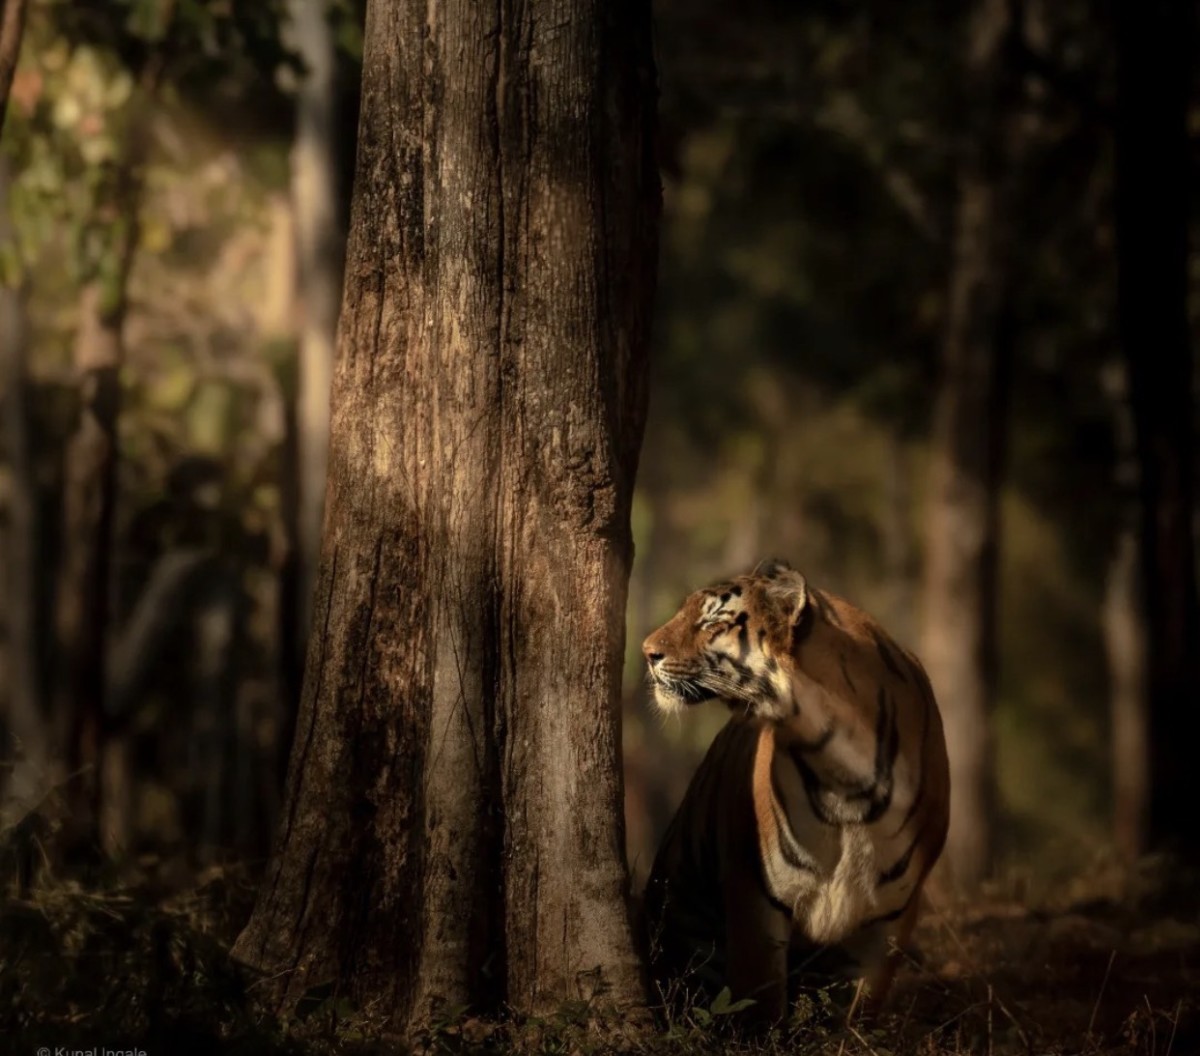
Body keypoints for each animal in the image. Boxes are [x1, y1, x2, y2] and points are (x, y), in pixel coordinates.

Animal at [640, 558, 950, 1026]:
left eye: (712, 621)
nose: (646, 652)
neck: (844, 771)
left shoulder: (894, 911)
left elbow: (860, 1009)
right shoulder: (756, 890)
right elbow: (760, 999)